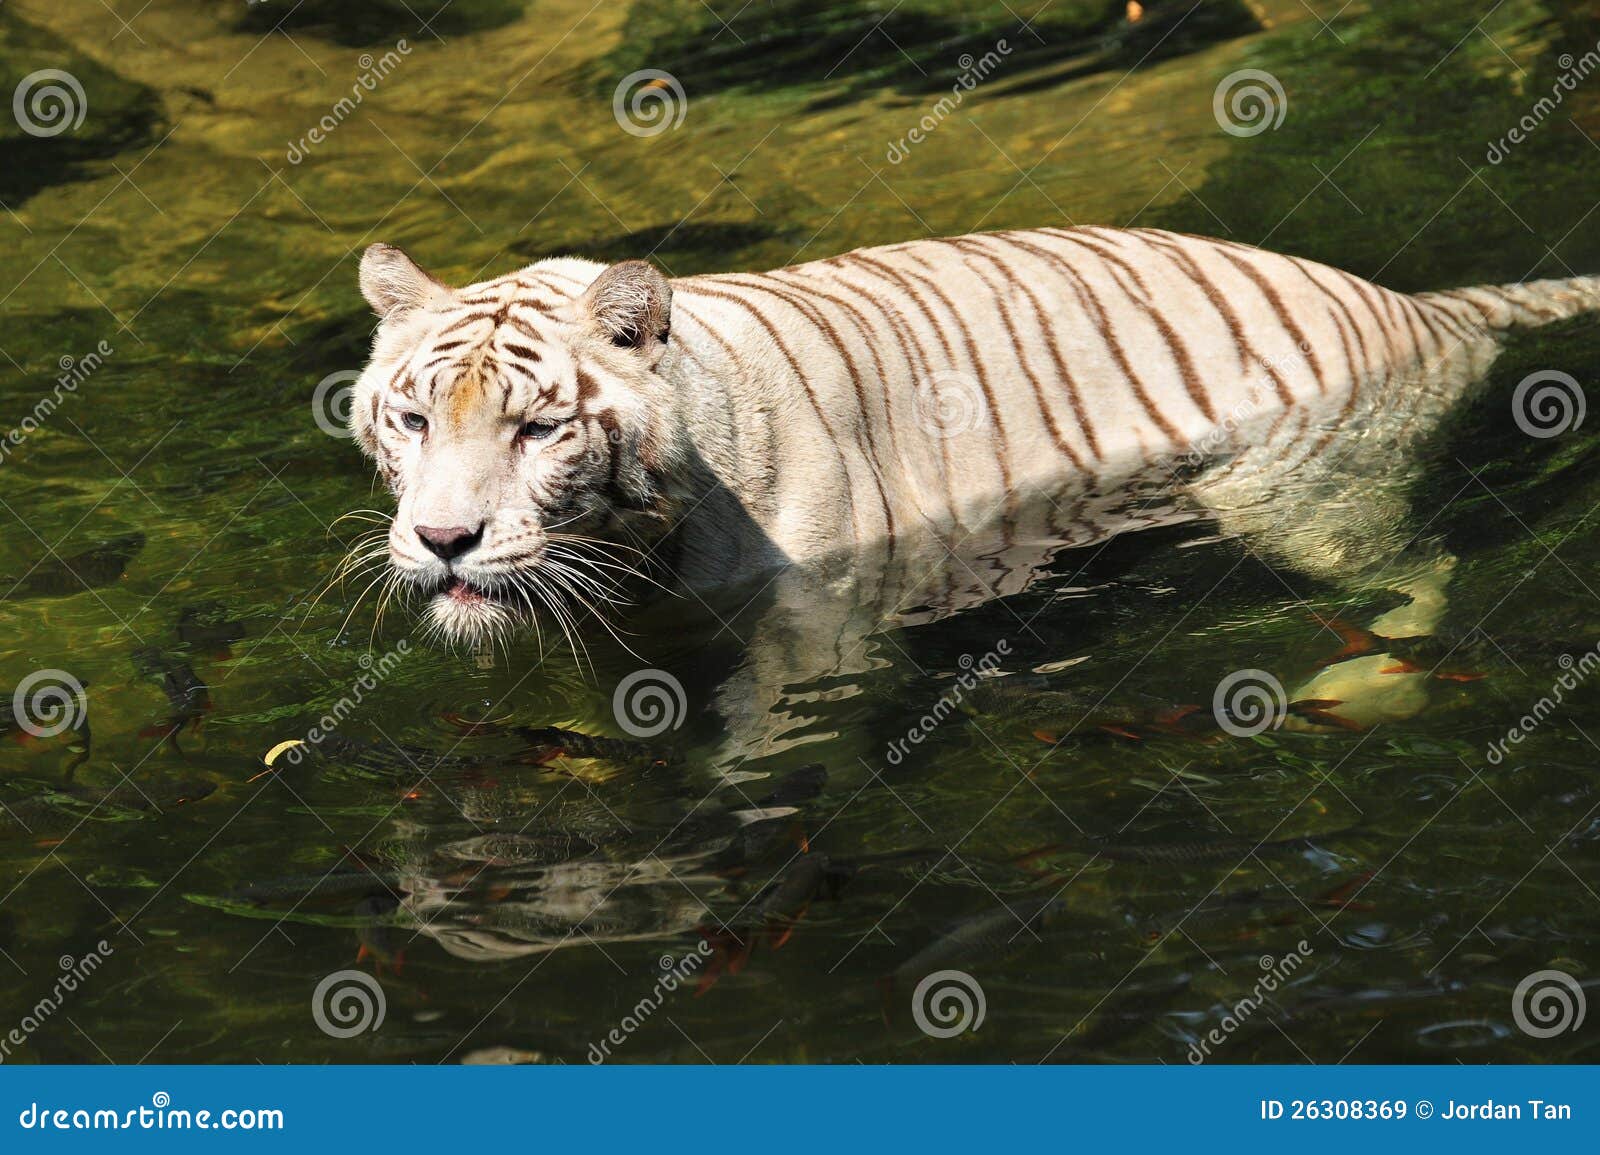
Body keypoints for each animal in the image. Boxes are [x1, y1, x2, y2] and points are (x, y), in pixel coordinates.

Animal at [345, 226, 1596, 729]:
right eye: (411, 419)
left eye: (537, 431)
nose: (444, 541)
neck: (632, 557)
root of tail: (1418, 305)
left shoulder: (819, 636)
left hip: (1293, 496)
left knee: (1420, 567)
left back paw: (1369, 683)